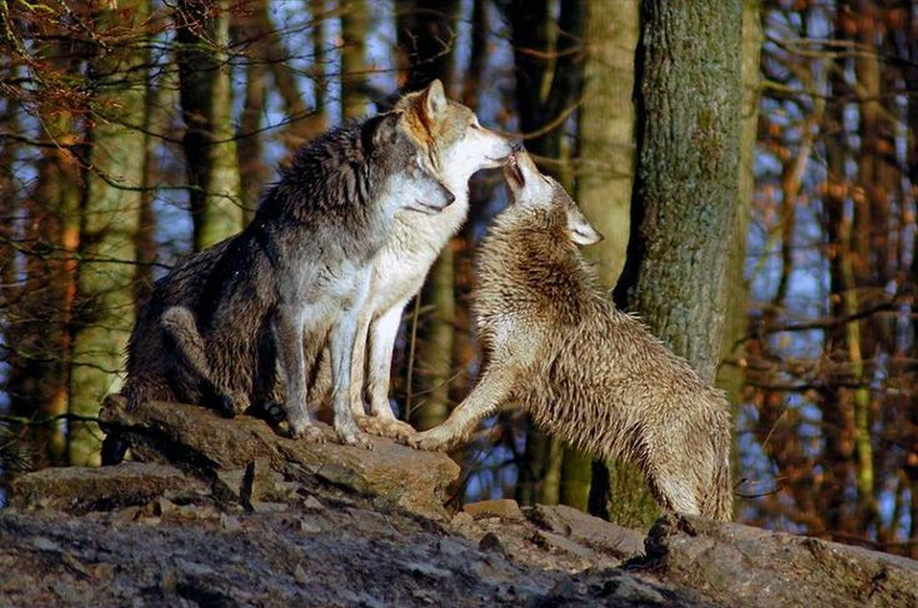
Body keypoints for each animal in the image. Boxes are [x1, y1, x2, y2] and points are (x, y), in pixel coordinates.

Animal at [115, 110, 453, 449]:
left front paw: (349, 434)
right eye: (413, 164)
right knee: (198, 392)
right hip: (175, 317)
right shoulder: (290, 313)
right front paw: (303, 428)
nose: (451, 197)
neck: (336, 234)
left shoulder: (347, 317)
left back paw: (269, 407)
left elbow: (343, 388)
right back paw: (234, 399)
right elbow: (297, 380)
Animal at [406, 150, 734, 521]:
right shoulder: (491, 363)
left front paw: (429, 438)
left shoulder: (505, 368)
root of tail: (720, 410)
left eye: (547, 178)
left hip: (666, 472)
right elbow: (468, 412)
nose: (518, 148)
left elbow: (461, 410)